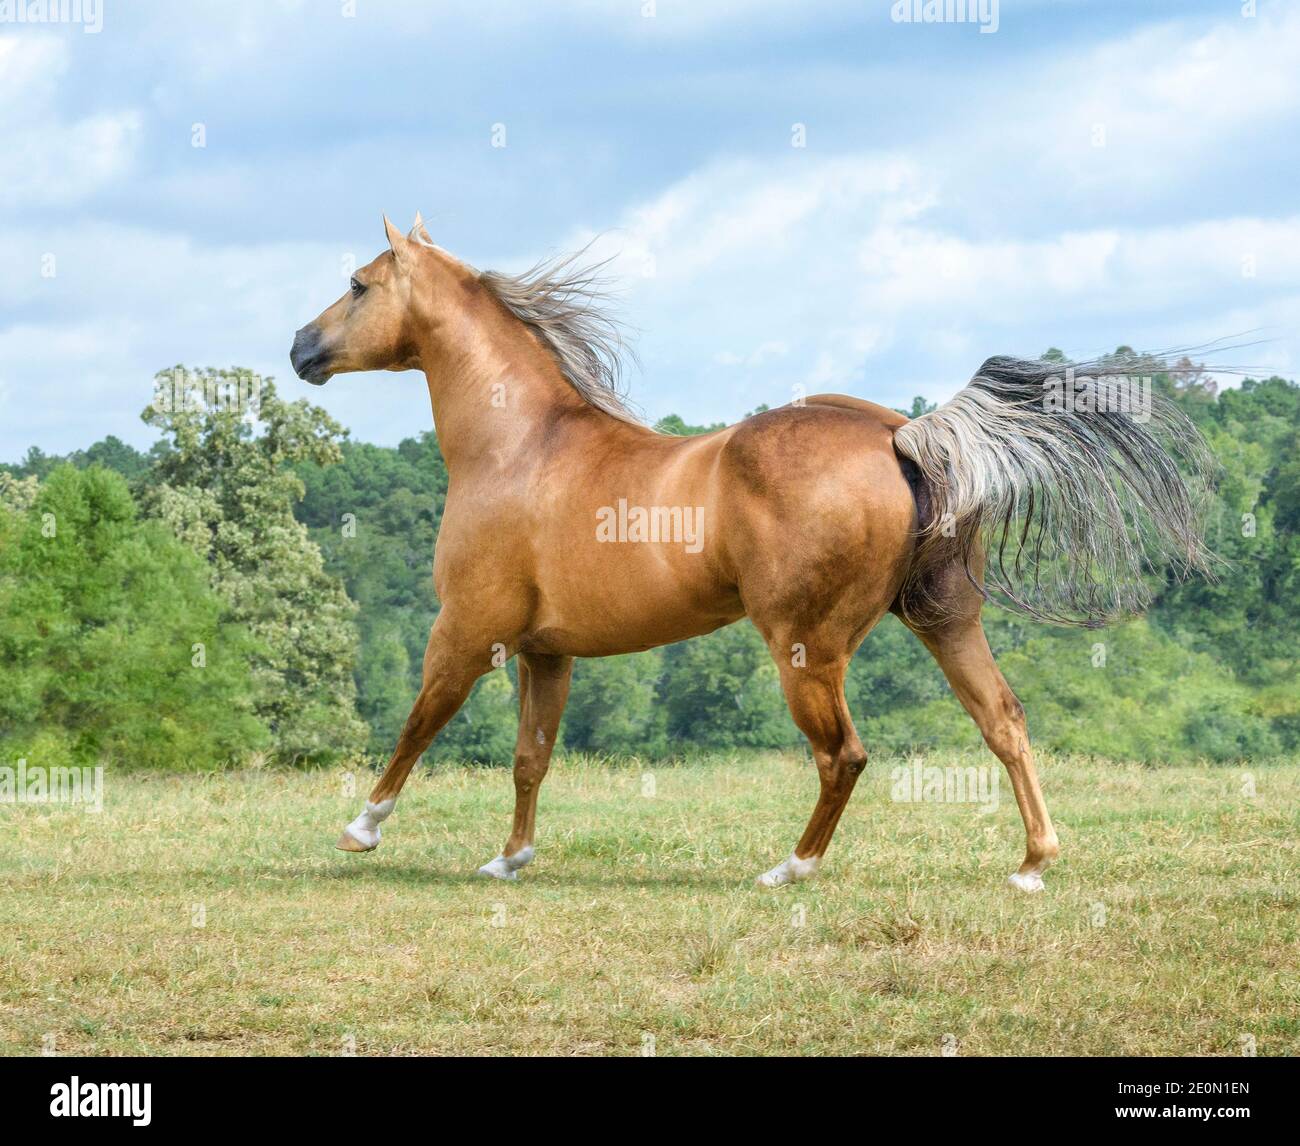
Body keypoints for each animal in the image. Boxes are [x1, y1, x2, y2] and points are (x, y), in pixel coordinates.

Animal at [290, 214, 1213, 892]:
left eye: (358, 284)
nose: (300, 347)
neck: (519, 446)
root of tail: (899, 434)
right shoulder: (546, 652)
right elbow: (531, 758)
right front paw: (509, 859)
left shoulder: (468, 631)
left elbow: (419, 722)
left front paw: (361, 828)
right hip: (944, 621)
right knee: (1005, 722)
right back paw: (1031, 865)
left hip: (805, 646)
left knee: (844, 754)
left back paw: (789, 869)